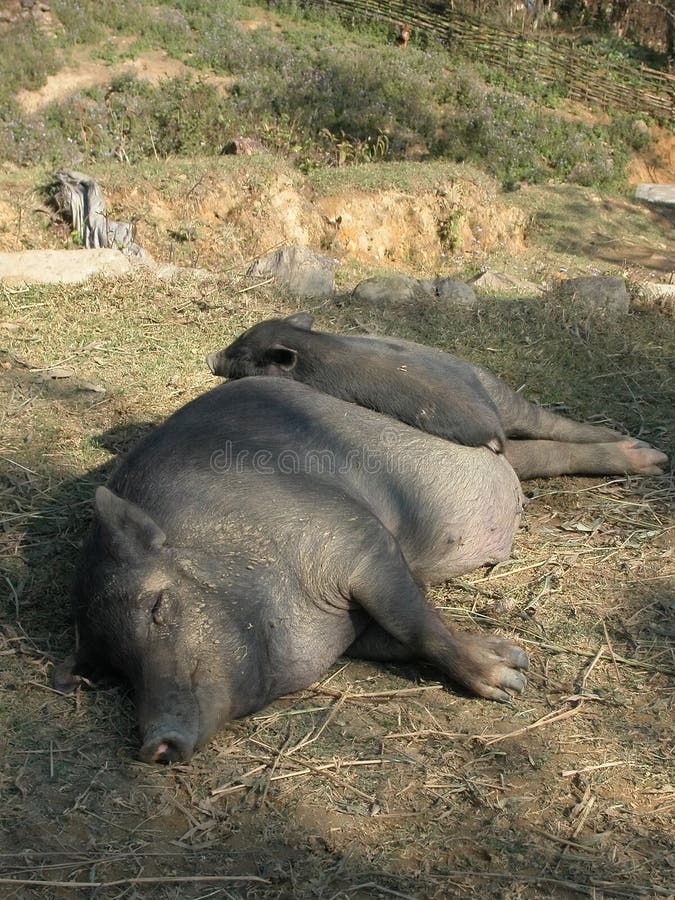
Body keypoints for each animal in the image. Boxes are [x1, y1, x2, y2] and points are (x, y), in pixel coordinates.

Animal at [57, 377, 530, 764]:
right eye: (112, 671)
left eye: (157, 605)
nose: (154, 744)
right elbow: (401, 637)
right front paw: (508, 661)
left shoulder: (355, 539)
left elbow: (415, 624)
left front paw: (512, 677)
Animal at [206, 313, 668, 480]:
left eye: (242, 354)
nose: (211, 357)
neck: (312, 351)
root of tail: (492, 420)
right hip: (502, 395)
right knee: (551, 426)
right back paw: (649, 451)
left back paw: (652, 460)